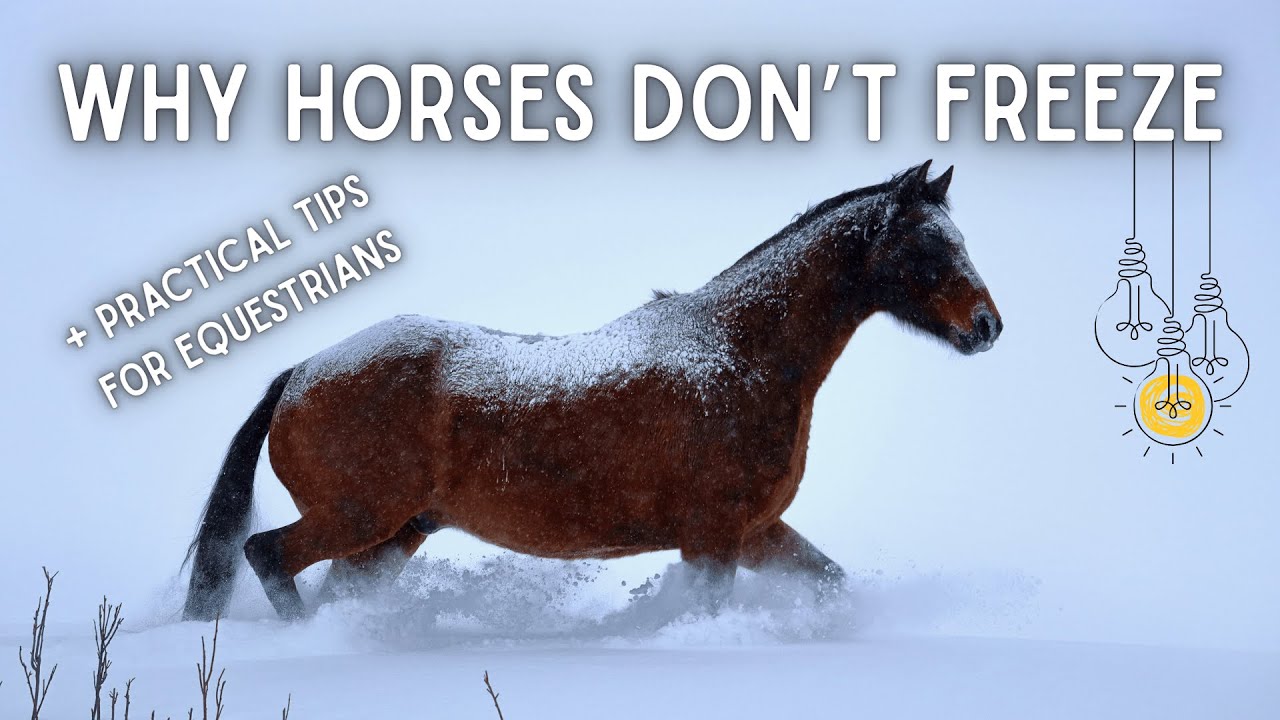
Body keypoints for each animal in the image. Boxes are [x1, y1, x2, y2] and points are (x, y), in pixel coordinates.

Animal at [181, 160, 1002, 622]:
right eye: (927, 247)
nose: (987, 325)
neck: (741, 356)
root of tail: (300, 374)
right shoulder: (714, 537)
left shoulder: (757, 532)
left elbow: (831, 583)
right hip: (356, 518)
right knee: (265, 554)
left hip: (393, 535)